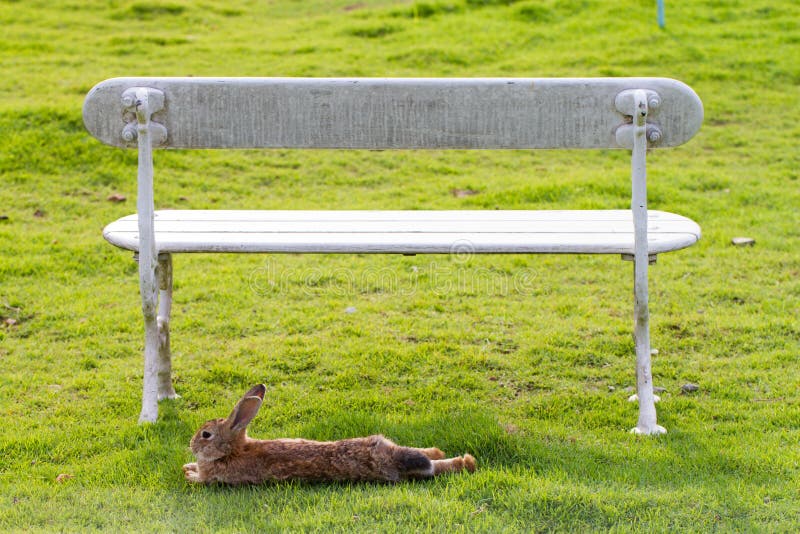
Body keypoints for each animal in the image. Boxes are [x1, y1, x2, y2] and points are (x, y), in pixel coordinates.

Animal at [183, 384, 476, 484]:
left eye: (206, 435)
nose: (191, 445)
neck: (232, 450)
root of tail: (386, 457)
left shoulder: (214, 479)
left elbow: (202, 480)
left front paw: (189, 473)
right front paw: (187, 465)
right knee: (432, 461)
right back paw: (458, 458)